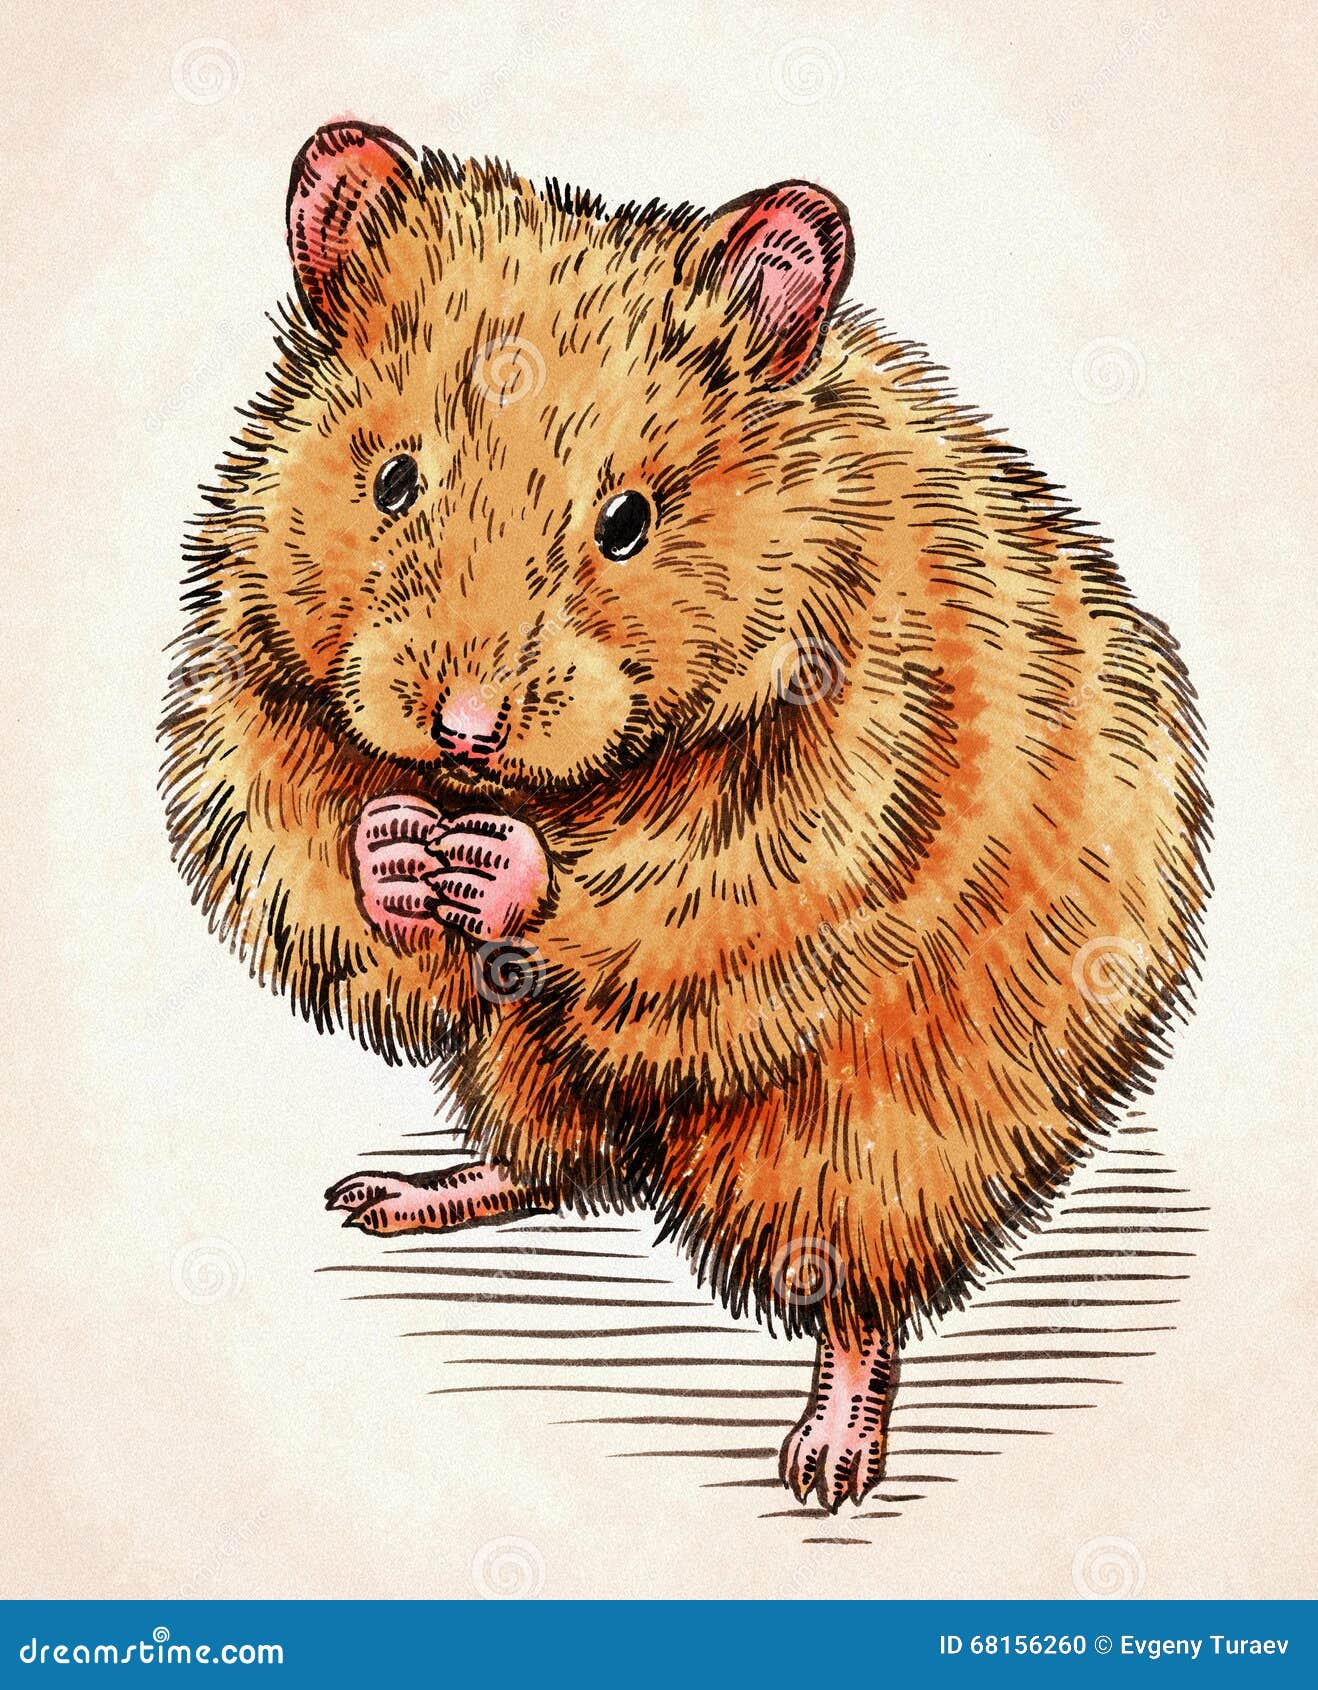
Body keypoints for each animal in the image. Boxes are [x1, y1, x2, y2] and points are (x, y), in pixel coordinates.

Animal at [160, 120, 1211, 1512]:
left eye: (626, 520)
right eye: (390, 481)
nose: (464, 725)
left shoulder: (833, 790)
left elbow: (673, 890)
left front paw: (494, 867)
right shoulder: (250, 694)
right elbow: (305, 840)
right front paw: (397, 852)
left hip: (868, 1125)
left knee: (852, 1291)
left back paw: (827, 1462)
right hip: (521, 1063)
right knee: (549, 1157)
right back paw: (381, 1194)